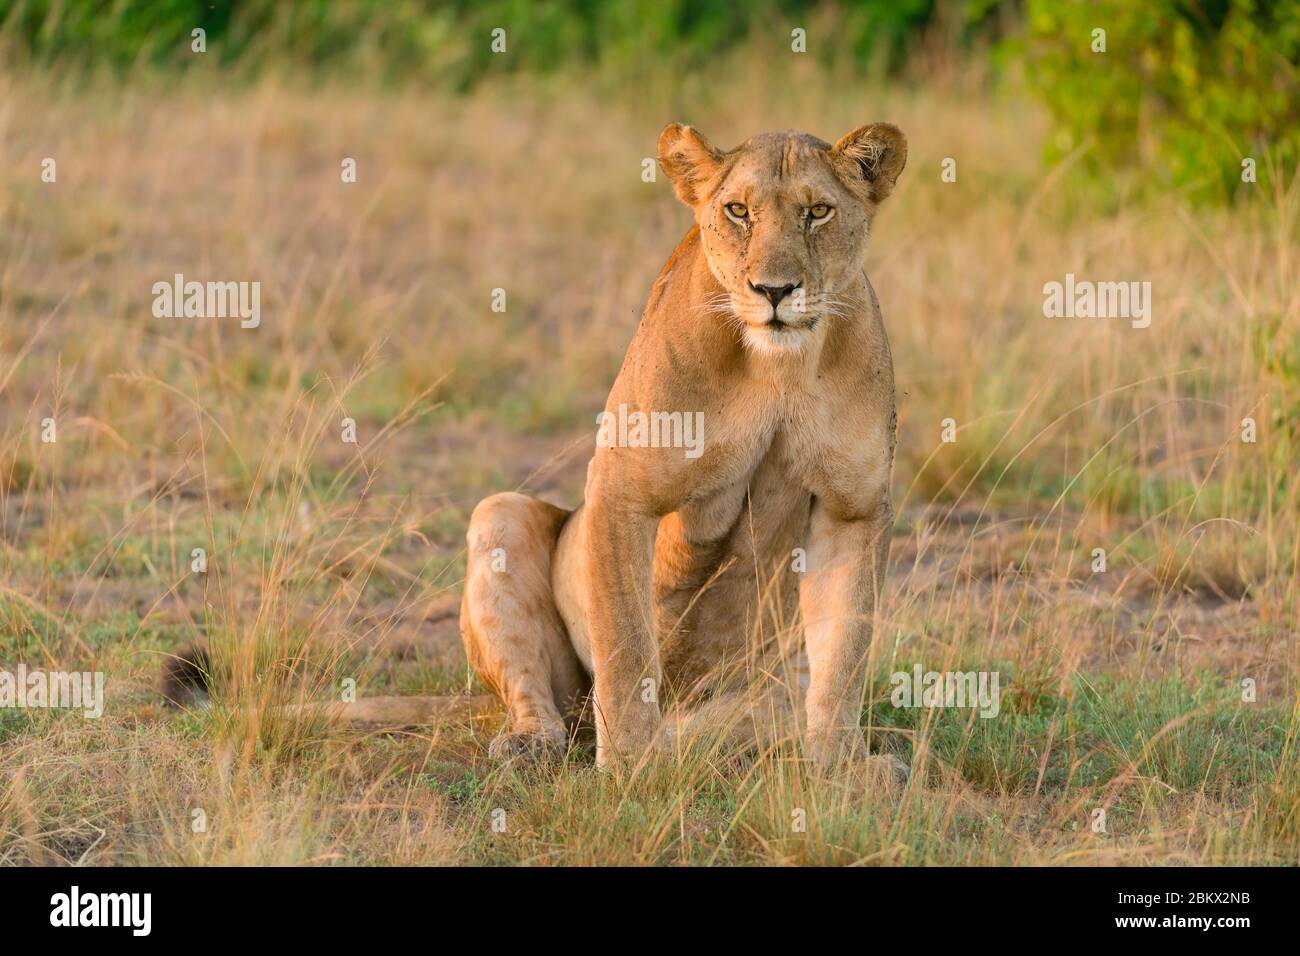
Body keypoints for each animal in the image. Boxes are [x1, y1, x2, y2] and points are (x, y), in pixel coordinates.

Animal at [164, 121, 908, 781]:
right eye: (737, 211)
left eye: (817, 212)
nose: (775, 291)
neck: (775, 366)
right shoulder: (620, 492)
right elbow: (625, 645)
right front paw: (631, 770)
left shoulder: (853, 508)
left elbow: (843, 656)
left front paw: (842, 769)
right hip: (503, 522)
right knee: (538, 699)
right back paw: (541, 745)